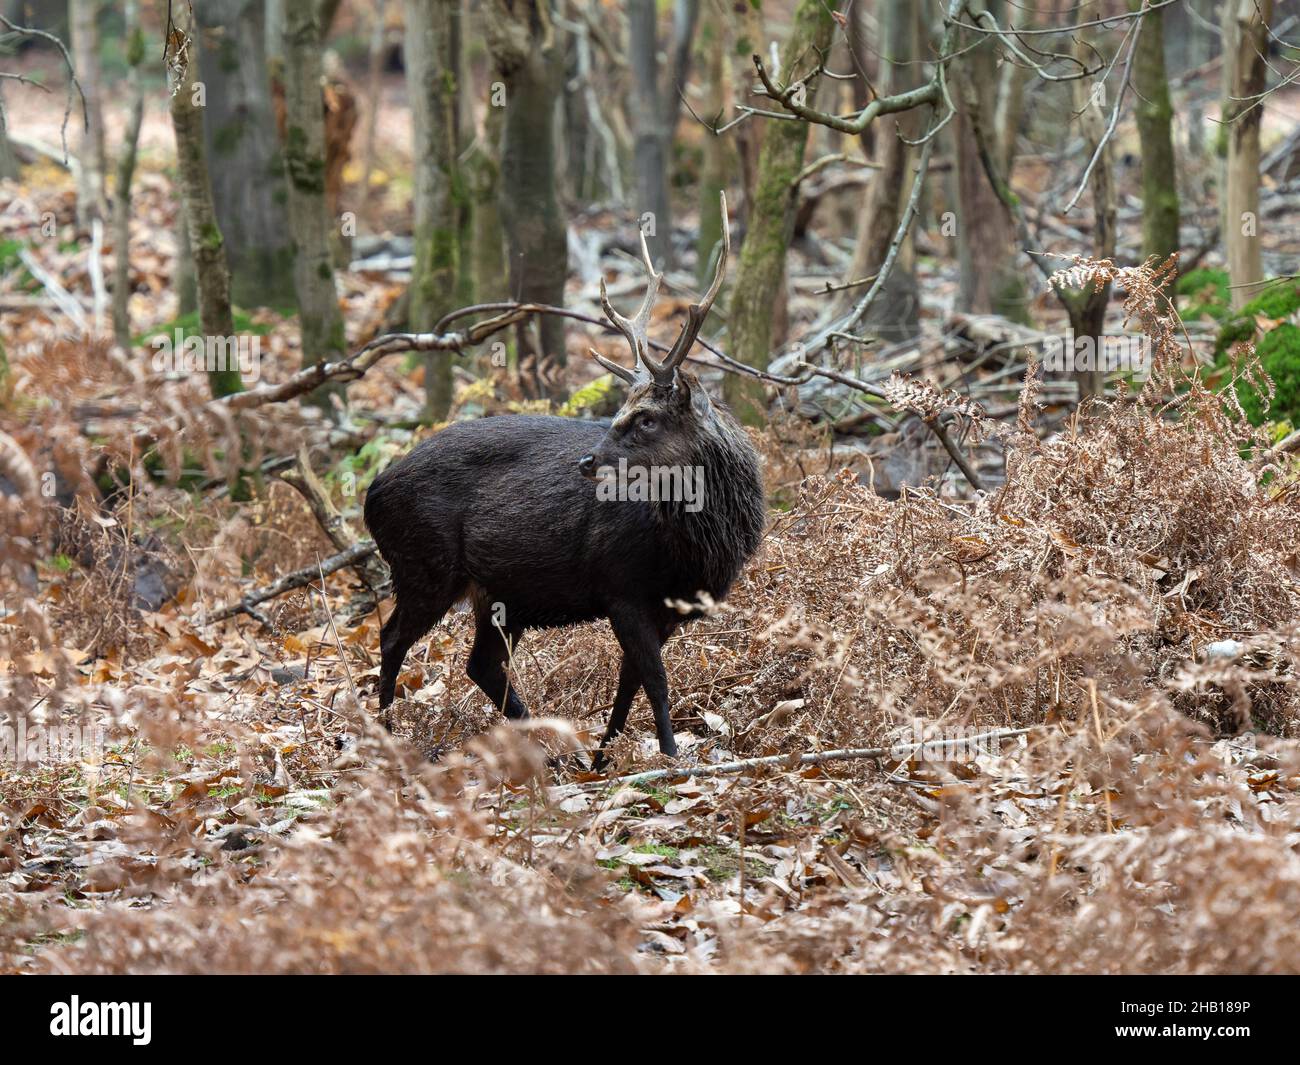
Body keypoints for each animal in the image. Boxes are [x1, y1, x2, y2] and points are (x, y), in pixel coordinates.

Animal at [363, 193, 764, 766]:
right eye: (619, 411)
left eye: (647, 419)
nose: (587, 462)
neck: (696, 548)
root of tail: (371, 495)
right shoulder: (621, 584)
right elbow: (656, 680)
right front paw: (668, 757)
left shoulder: (665, 606)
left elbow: (630, 682)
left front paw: (604, 756)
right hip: (425, 563)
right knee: (393, 635)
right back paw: (388, 732)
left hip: (498, 591)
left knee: (480, 663)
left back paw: (543, 744)